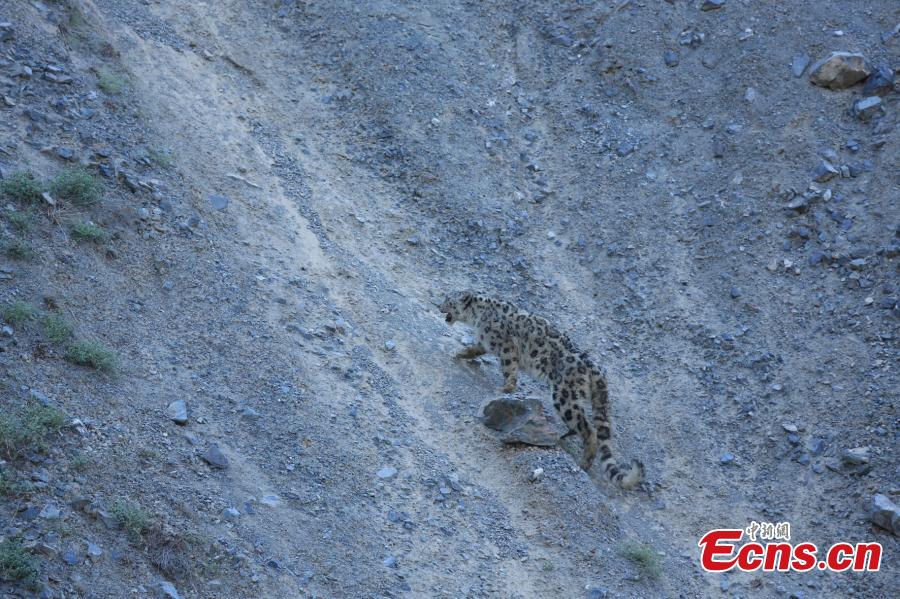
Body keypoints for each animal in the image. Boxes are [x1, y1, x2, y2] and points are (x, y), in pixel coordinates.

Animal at [439, 291, 644, 490]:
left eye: (448, 300)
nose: (439, 306)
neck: (478, 317)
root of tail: (596, 369)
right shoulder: (484, 342)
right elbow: (473, 349)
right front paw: (459, 353)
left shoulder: (506, 347)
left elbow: (509, 368)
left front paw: (505, 387)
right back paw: (564, 436)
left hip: (564, 395)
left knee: (589, 429)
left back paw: (583, 462)